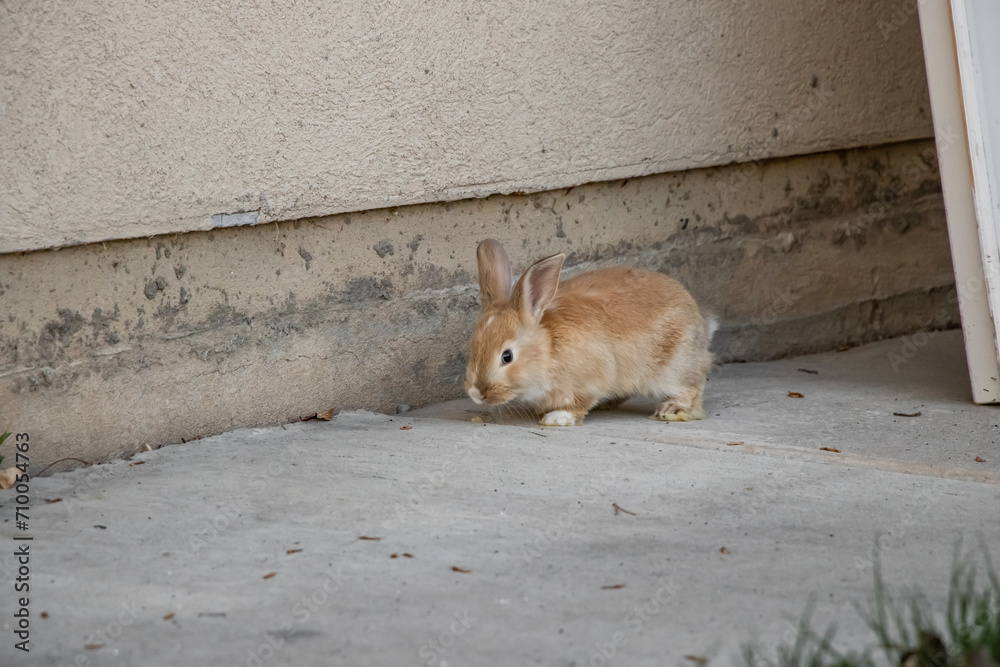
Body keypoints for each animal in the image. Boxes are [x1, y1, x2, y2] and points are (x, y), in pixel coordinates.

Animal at [465, 239, 716, 427]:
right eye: (473, 347)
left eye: (507, 357)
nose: (476, 393)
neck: (547, 349)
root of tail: (701, 322)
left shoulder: (591, 379)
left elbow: (578, 404)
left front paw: (557, 418)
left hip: (674, 366)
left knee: (694, 384)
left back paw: (671, 408)